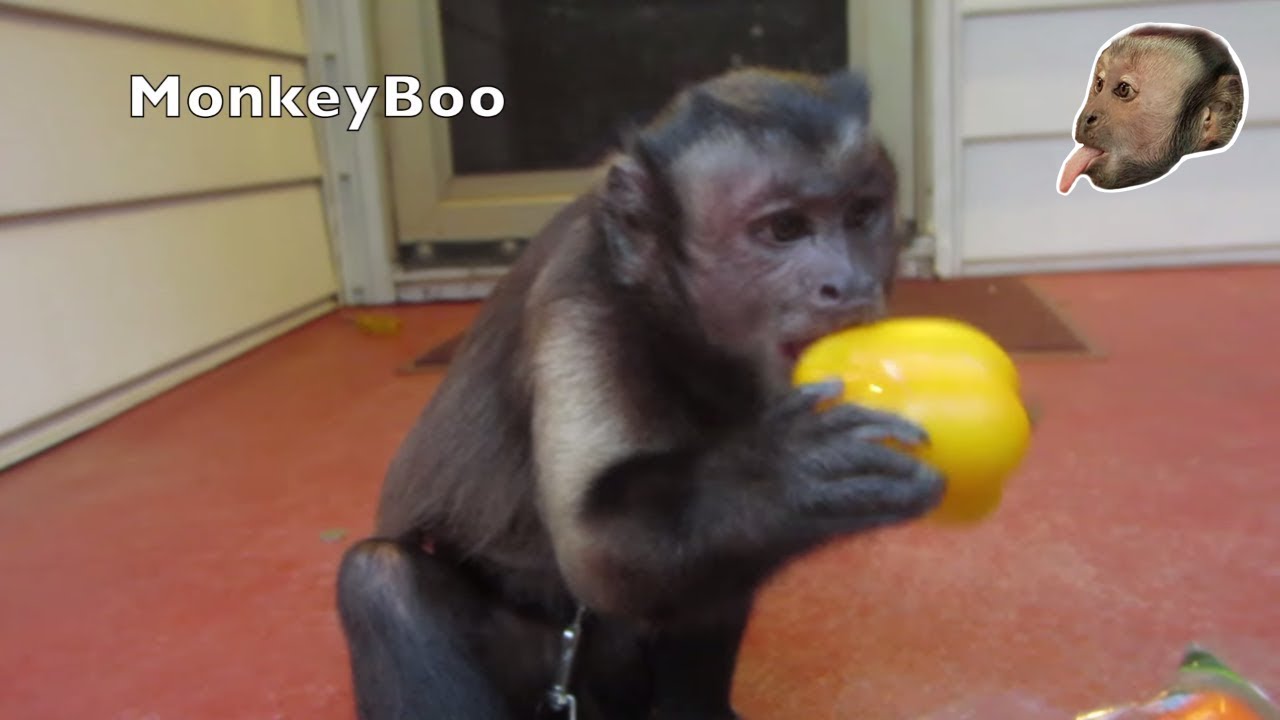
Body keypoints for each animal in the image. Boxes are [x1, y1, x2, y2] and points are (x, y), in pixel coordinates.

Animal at [335, 67, 944, 720]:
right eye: (785, 229)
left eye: (861, 215)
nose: (848, 283)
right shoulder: (583, 293)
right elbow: (598, 552)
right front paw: (789, 473)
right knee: (380, 578)